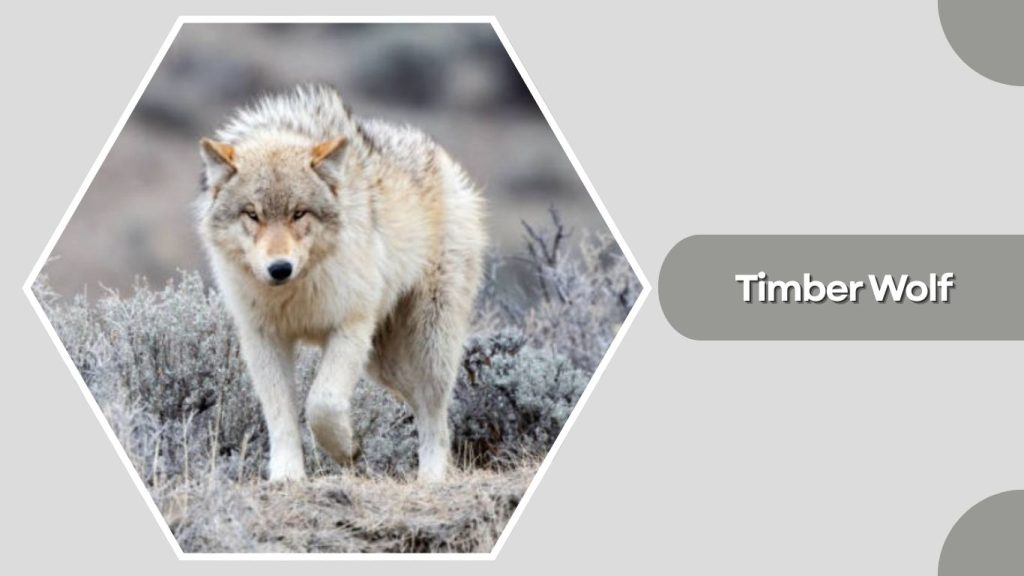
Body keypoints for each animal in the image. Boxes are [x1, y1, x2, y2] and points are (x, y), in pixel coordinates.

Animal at [195, 84, 486, 482]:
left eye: (298, 213)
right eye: (252, 214)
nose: (279, 268)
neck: (294, 294)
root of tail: (441, 158)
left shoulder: (351, 326)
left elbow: (322, 404)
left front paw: (345, 448)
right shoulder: (263, 337)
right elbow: (281, 416)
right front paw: (287, 476)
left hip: (429, 346)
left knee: (435, 415)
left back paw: (432, 478)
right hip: (384, 363)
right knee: (417, 403)